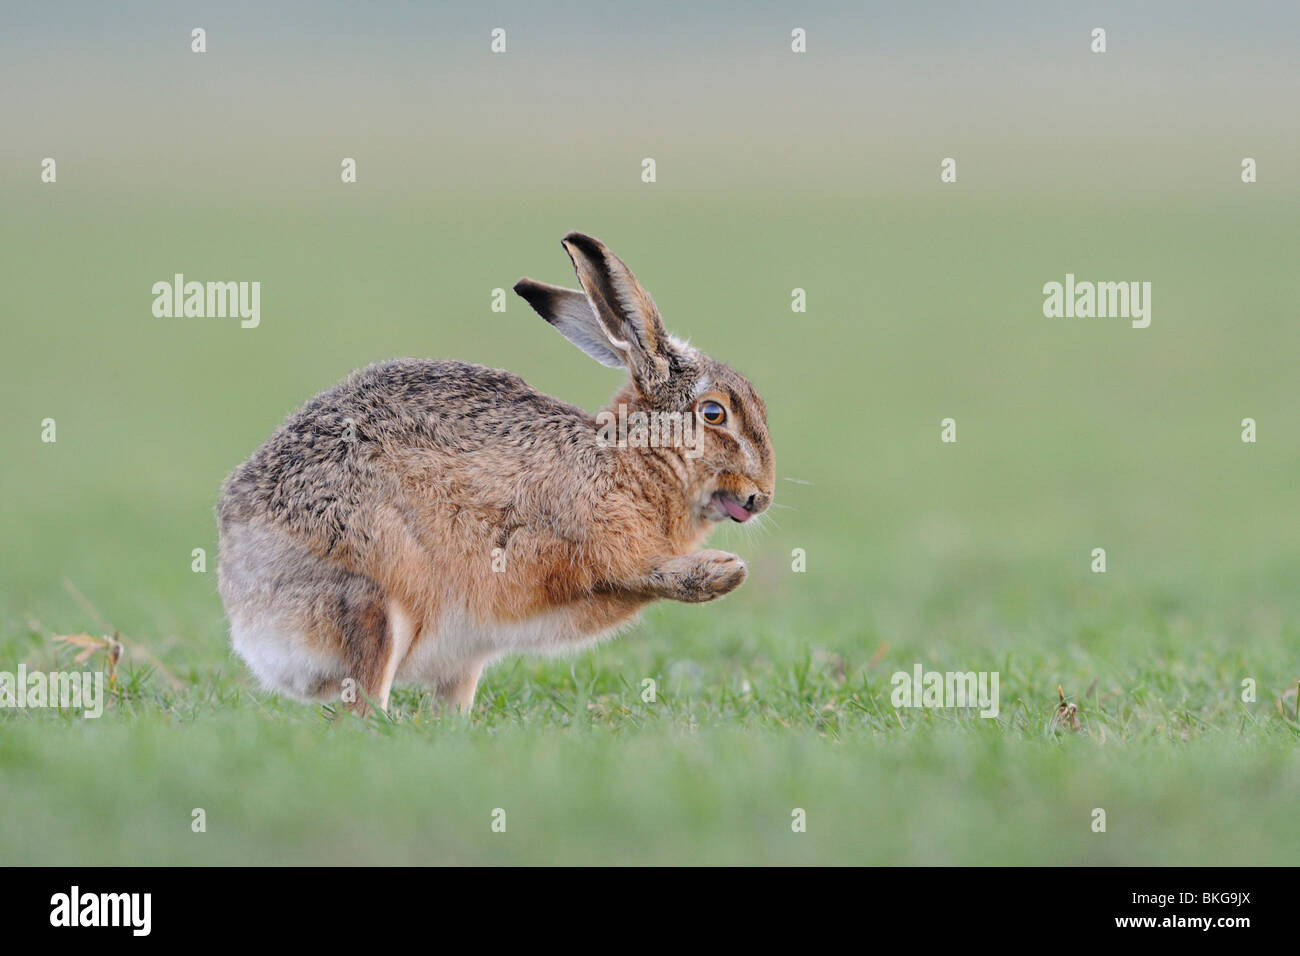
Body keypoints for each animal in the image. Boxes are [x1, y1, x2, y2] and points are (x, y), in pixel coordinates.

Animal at [217, 232, 774, 715]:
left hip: (460, 659)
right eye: (713, 413)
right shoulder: (591, 542)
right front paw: (722, 572)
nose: (761, 497)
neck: (632, 458)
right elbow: (636, 569)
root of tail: (247, 614)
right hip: (379, 601)